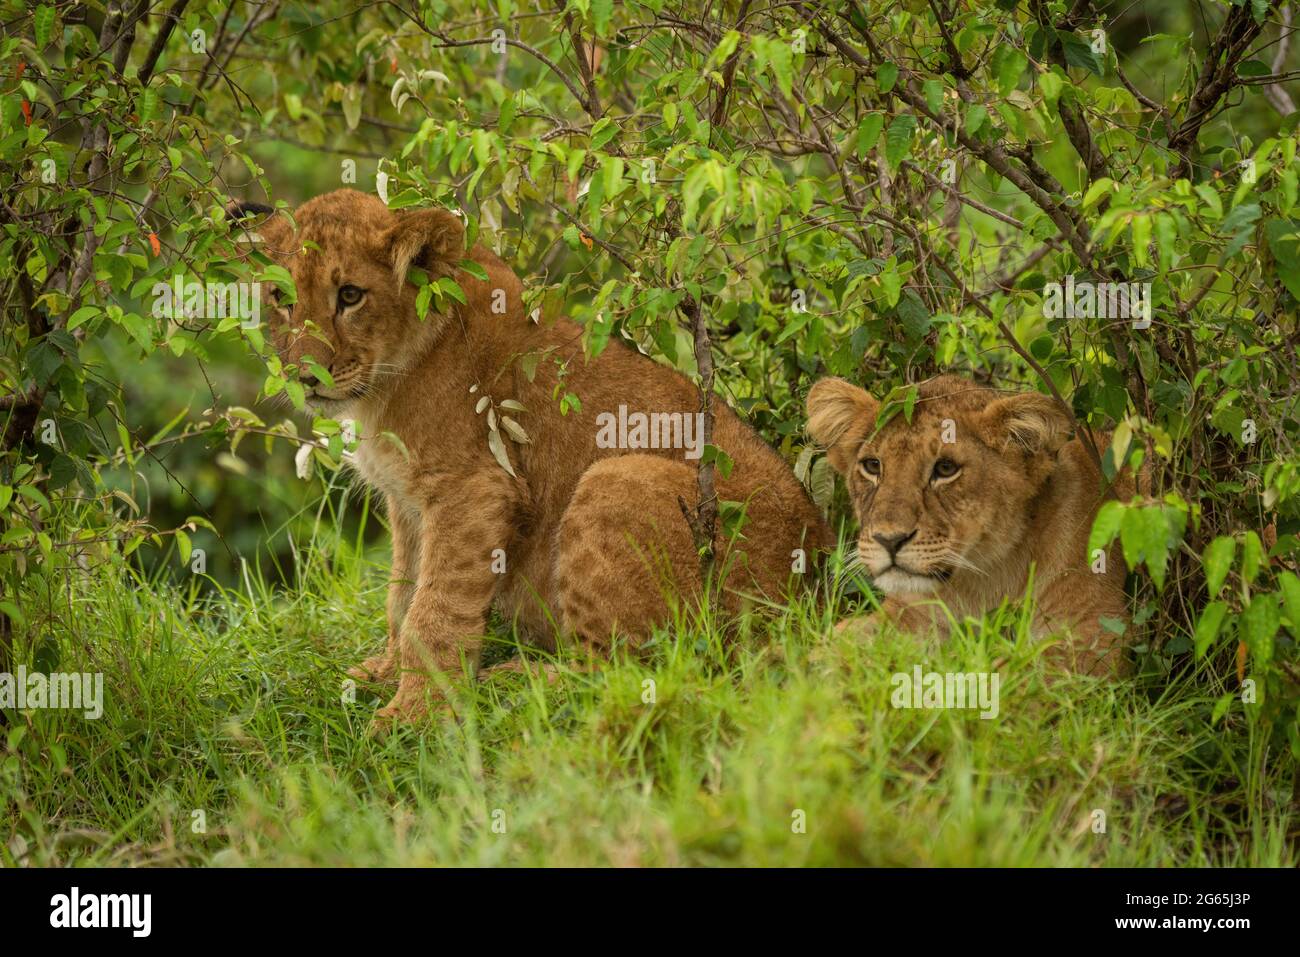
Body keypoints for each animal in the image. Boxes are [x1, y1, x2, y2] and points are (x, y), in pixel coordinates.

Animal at [246, 189, 833, 723]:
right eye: (281, 297)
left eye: (350, 295)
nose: (305, 377)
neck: (385, 382)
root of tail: (812, 590)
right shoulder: (407, 499)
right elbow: (401, 593)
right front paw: (384, 673)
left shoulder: (475, 488)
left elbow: (434, 609)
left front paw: (412, 715)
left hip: (617, 475)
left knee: (628, 672)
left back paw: (508, 681)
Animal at [805, 374, 1136, 675]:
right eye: (872, 466)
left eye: (945, 468)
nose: (889, 540)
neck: (984, 574)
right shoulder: (910, 614)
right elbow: (839, 641)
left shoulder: (1097, 630)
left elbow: (1021, 675)